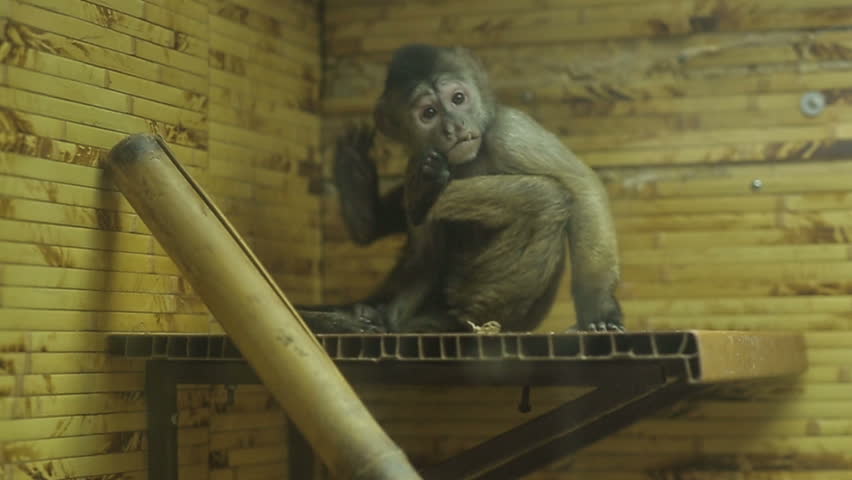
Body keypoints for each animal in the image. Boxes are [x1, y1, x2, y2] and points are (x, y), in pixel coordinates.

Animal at [297, 44, 624, 334]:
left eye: (457, 98)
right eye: (429, 112)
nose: (454, 127)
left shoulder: (511, 132)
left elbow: (582, 187)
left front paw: (598, 306)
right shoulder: (417, 155)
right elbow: (423, 256)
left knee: (546, 196)